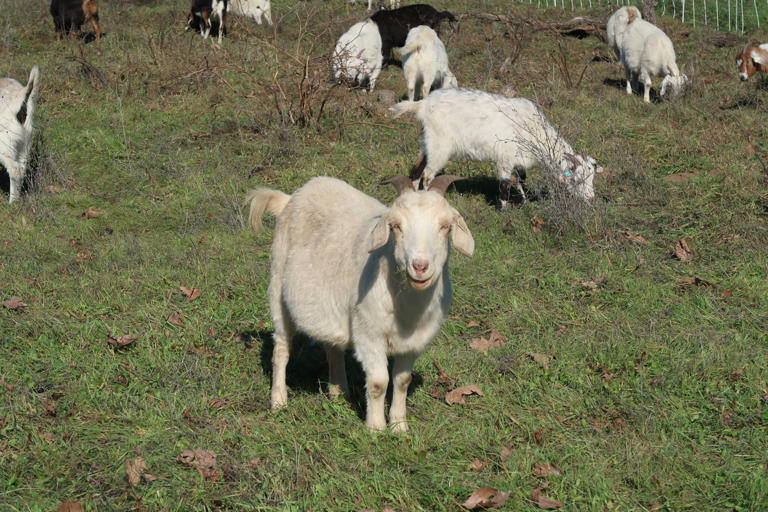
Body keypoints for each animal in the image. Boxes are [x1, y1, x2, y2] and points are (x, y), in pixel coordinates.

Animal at [0, 66, 41, 204]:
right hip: (25, 140)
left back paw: (12, 203)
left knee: (15, 170)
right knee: (22, 168)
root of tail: (22, 94)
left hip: (5, 141)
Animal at [246, 175, 474, 432]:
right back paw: (279, 400)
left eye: (445, 226)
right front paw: (375, 427)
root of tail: (290, 198)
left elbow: (402, 381)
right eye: (396, 226)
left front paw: (399, 426)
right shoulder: (368, 333)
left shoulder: (415, 343)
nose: (420, 266)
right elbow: (378, 382)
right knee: (281, 349)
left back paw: (338, 392)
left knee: (332, 348)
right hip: (277, 289)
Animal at [391, 88, 602, 209]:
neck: (533, 129)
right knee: (427, 175)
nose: (591, 198)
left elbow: (521, 179)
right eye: (576, 179)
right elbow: (504, 184)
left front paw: (524, 202)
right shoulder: (505, 158)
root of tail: (422, 104)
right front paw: (503, 210)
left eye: (591, 177)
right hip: (439, 146)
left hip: (427, 142)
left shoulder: (519, 160)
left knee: (416, 170)